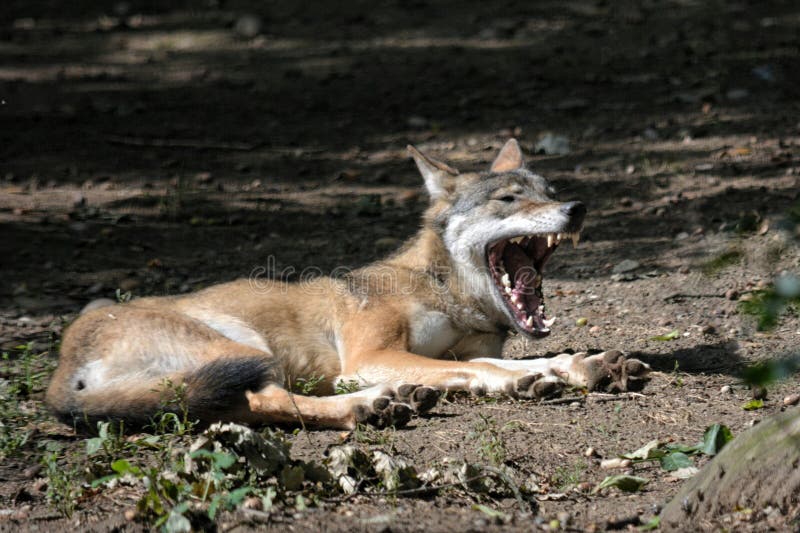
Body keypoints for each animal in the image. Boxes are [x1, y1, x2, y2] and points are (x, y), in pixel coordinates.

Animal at [46, 139, 650, 430]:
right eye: (508, 200)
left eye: (551, 191)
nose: (576, 209)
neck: (443, 290)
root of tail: (65, 357)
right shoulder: (370, 354)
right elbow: (479, 369)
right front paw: (522, 379)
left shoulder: (448, 350)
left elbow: (503, 361)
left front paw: (582, 366)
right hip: (246, 349)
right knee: (269, 398)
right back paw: (372, 405)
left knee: (241, 406)